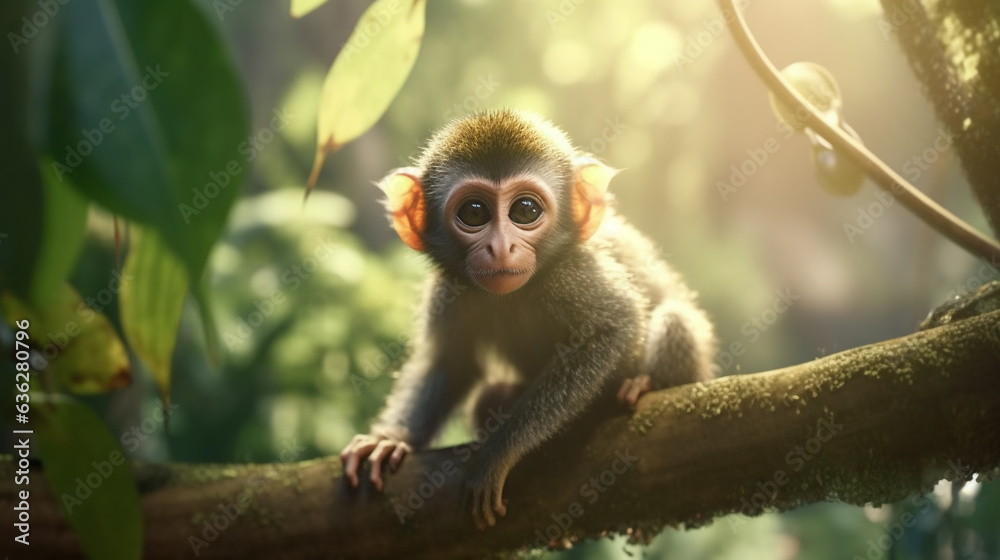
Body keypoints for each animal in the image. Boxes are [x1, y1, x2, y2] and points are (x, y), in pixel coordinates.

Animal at [340, 109, 717, 530]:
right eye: (473, 212)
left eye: (525, 210)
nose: (501, 247)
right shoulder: (448, 289)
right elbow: (452, 362)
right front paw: (391, 438)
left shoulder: (573, 271)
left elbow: (615, 325)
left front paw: (499, 452)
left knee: (674, 318)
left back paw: (643, 383)